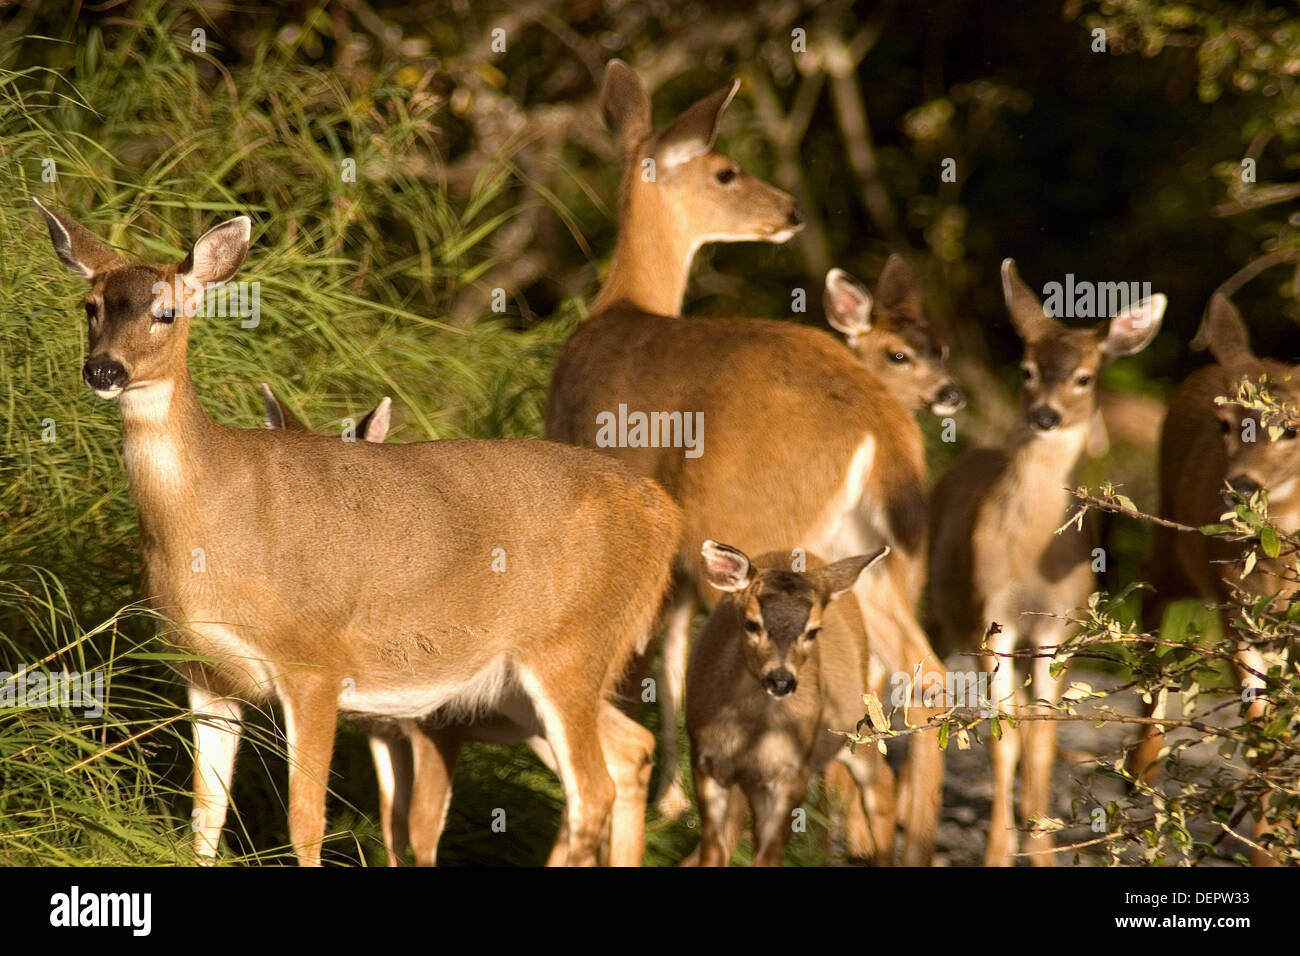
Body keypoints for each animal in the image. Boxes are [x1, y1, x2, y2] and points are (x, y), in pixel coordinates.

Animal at [34, 198, 682, 867]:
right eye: (90, 306)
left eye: (166, 311)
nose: (104, 369)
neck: (207, 527)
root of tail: (666, 516)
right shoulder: (205, 676)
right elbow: (206, 816)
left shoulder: (314, 659)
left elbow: (306, 819)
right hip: (523, 684)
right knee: (629, 750)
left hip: (569, 645)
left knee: (593, 788)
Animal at [687, 541, 892, 866]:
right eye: (751, 623)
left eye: (812, 630)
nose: (781, 681)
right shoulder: (704, 761)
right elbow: (713, 850)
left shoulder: (792, 772)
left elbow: (769, 855)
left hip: (854, 728)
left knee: (881, 783)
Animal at [928, 258, 1165, 866]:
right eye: (1028, 369)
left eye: (1083, 377)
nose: (1045, 415)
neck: (1030, 558)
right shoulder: (994, 619)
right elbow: (1005, 740)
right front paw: (998, 852)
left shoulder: (1062, 626)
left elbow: (1042, 738)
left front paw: (1043, 848)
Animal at [1130, 293, 1298, 865]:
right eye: (1226, 424)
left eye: (1293, 429)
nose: (1240, 486)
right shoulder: (1236, 610)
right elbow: (1262, 729)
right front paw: (1268, 845)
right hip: (1172, 547)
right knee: (1148, 607)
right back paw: (1141, 767)